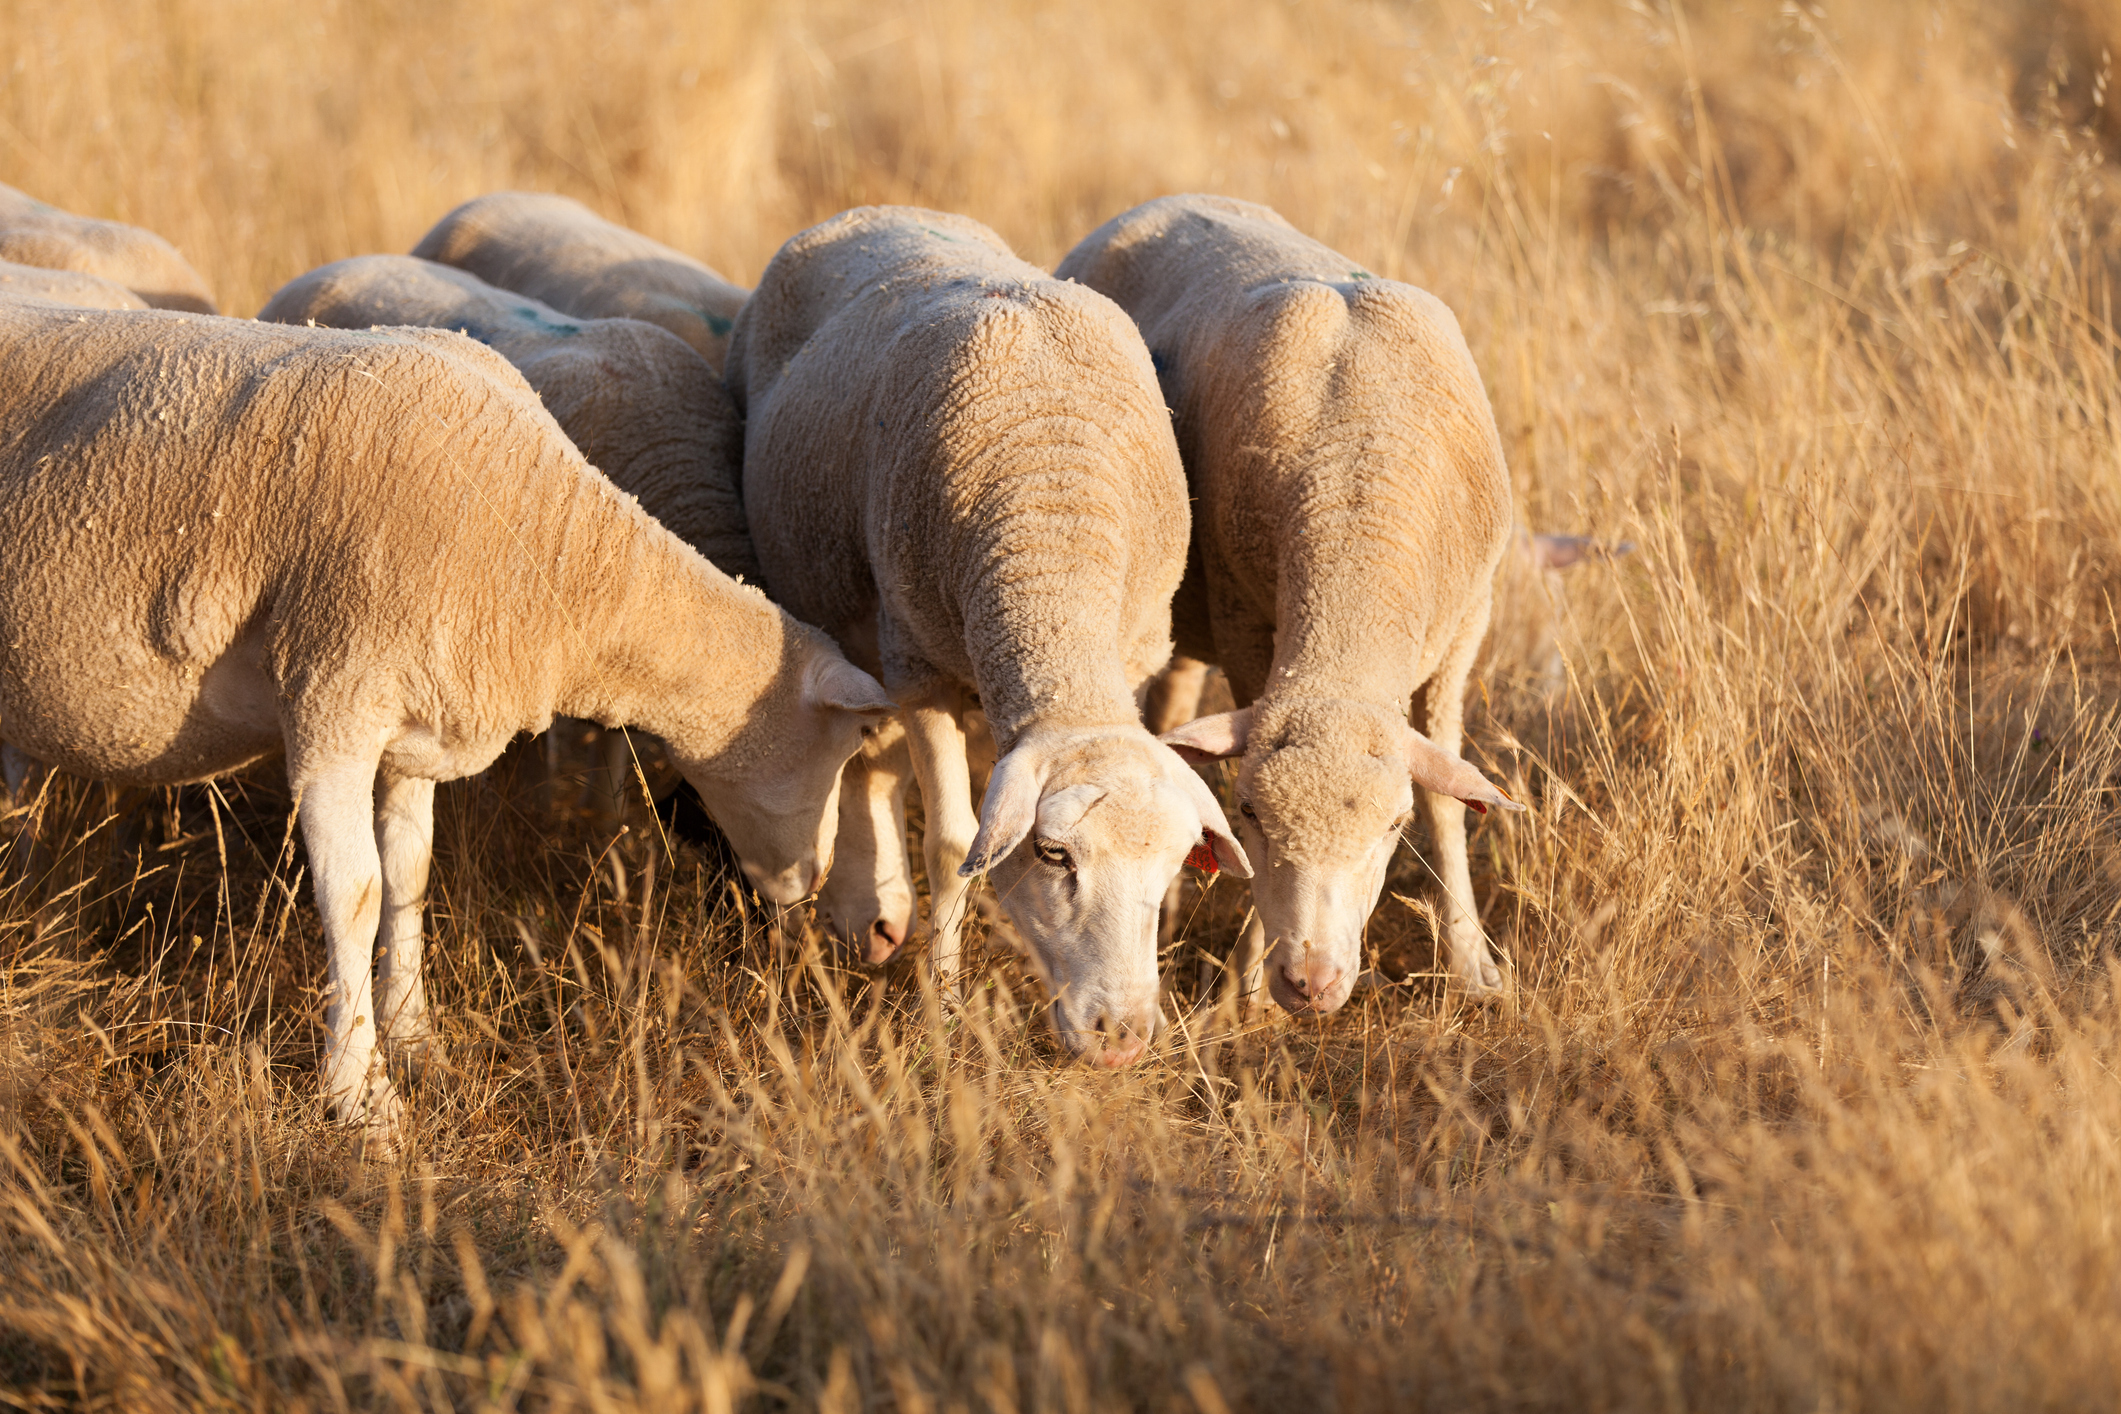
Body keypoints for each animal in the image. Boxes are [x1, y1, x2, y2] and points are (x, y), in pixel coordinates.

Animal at [0, 302, 894, 1146]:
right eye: (855, 748)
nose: (861, 921)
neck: (558, 560)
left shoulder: (415, 726)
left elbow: (409, 878)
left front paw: (414, 1041)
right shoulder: (333, 699)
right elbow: (355, 896)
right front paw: (360, 1100)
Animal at [728, 205, 1250, 1067]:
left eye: (1176, 861)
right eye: (1053, 854)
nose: (1120, 1039)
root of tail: (877, 210)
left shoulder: (1136, 656)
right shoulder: (915, 671)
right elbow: (952, 845)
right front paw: (939, 1013)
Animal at [1057, 193, 1523, 1013]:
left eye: (1392, 825)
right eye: (1251, 812)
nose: (1310, 983)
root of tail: (1163, 201)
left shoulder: (1468, 625)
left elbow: (1448, 800)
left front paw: (1473, 966)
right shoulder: (1245, 622)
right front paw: (1240, 989)